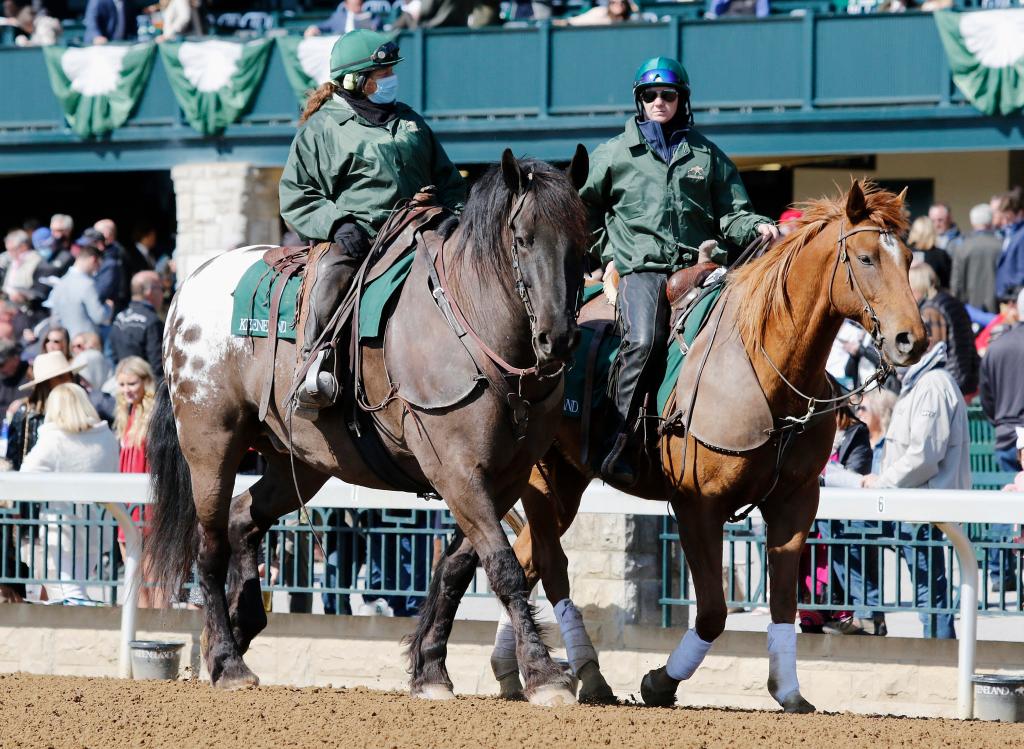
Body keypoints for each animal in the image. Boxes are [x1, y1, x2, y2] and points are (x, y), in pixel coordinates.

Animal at [144, 147, 590, 706]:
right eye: (524, 237)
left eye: (583, 238)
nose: (559, 338)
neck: (471, 325)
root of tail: (191, 286)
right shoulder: (458, 473)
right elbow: (504, 566)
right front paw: (544, 674)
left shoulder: (506, 478)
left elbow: (458, 567)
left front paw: (430, 669)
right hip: (212, 446)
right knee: (209, 547)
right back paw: (228, 661)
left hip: (301, 463)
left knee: (244, 518)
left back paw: (241, 626)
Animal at [416, 181, 928, 710]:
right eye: (866, 258)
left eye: (909, 256)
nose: (911, 339)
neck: (763, 365)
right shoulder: (696, 506)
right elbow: (713, 613)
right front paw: (658, 682)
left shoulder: (796, 503)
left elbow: (784, 604)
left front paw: (789, 691)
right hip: (540, 478)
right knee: (550, 564)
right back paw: (576, 674)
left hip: (566, 482)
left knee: (526, 558)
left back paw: (519, 670)